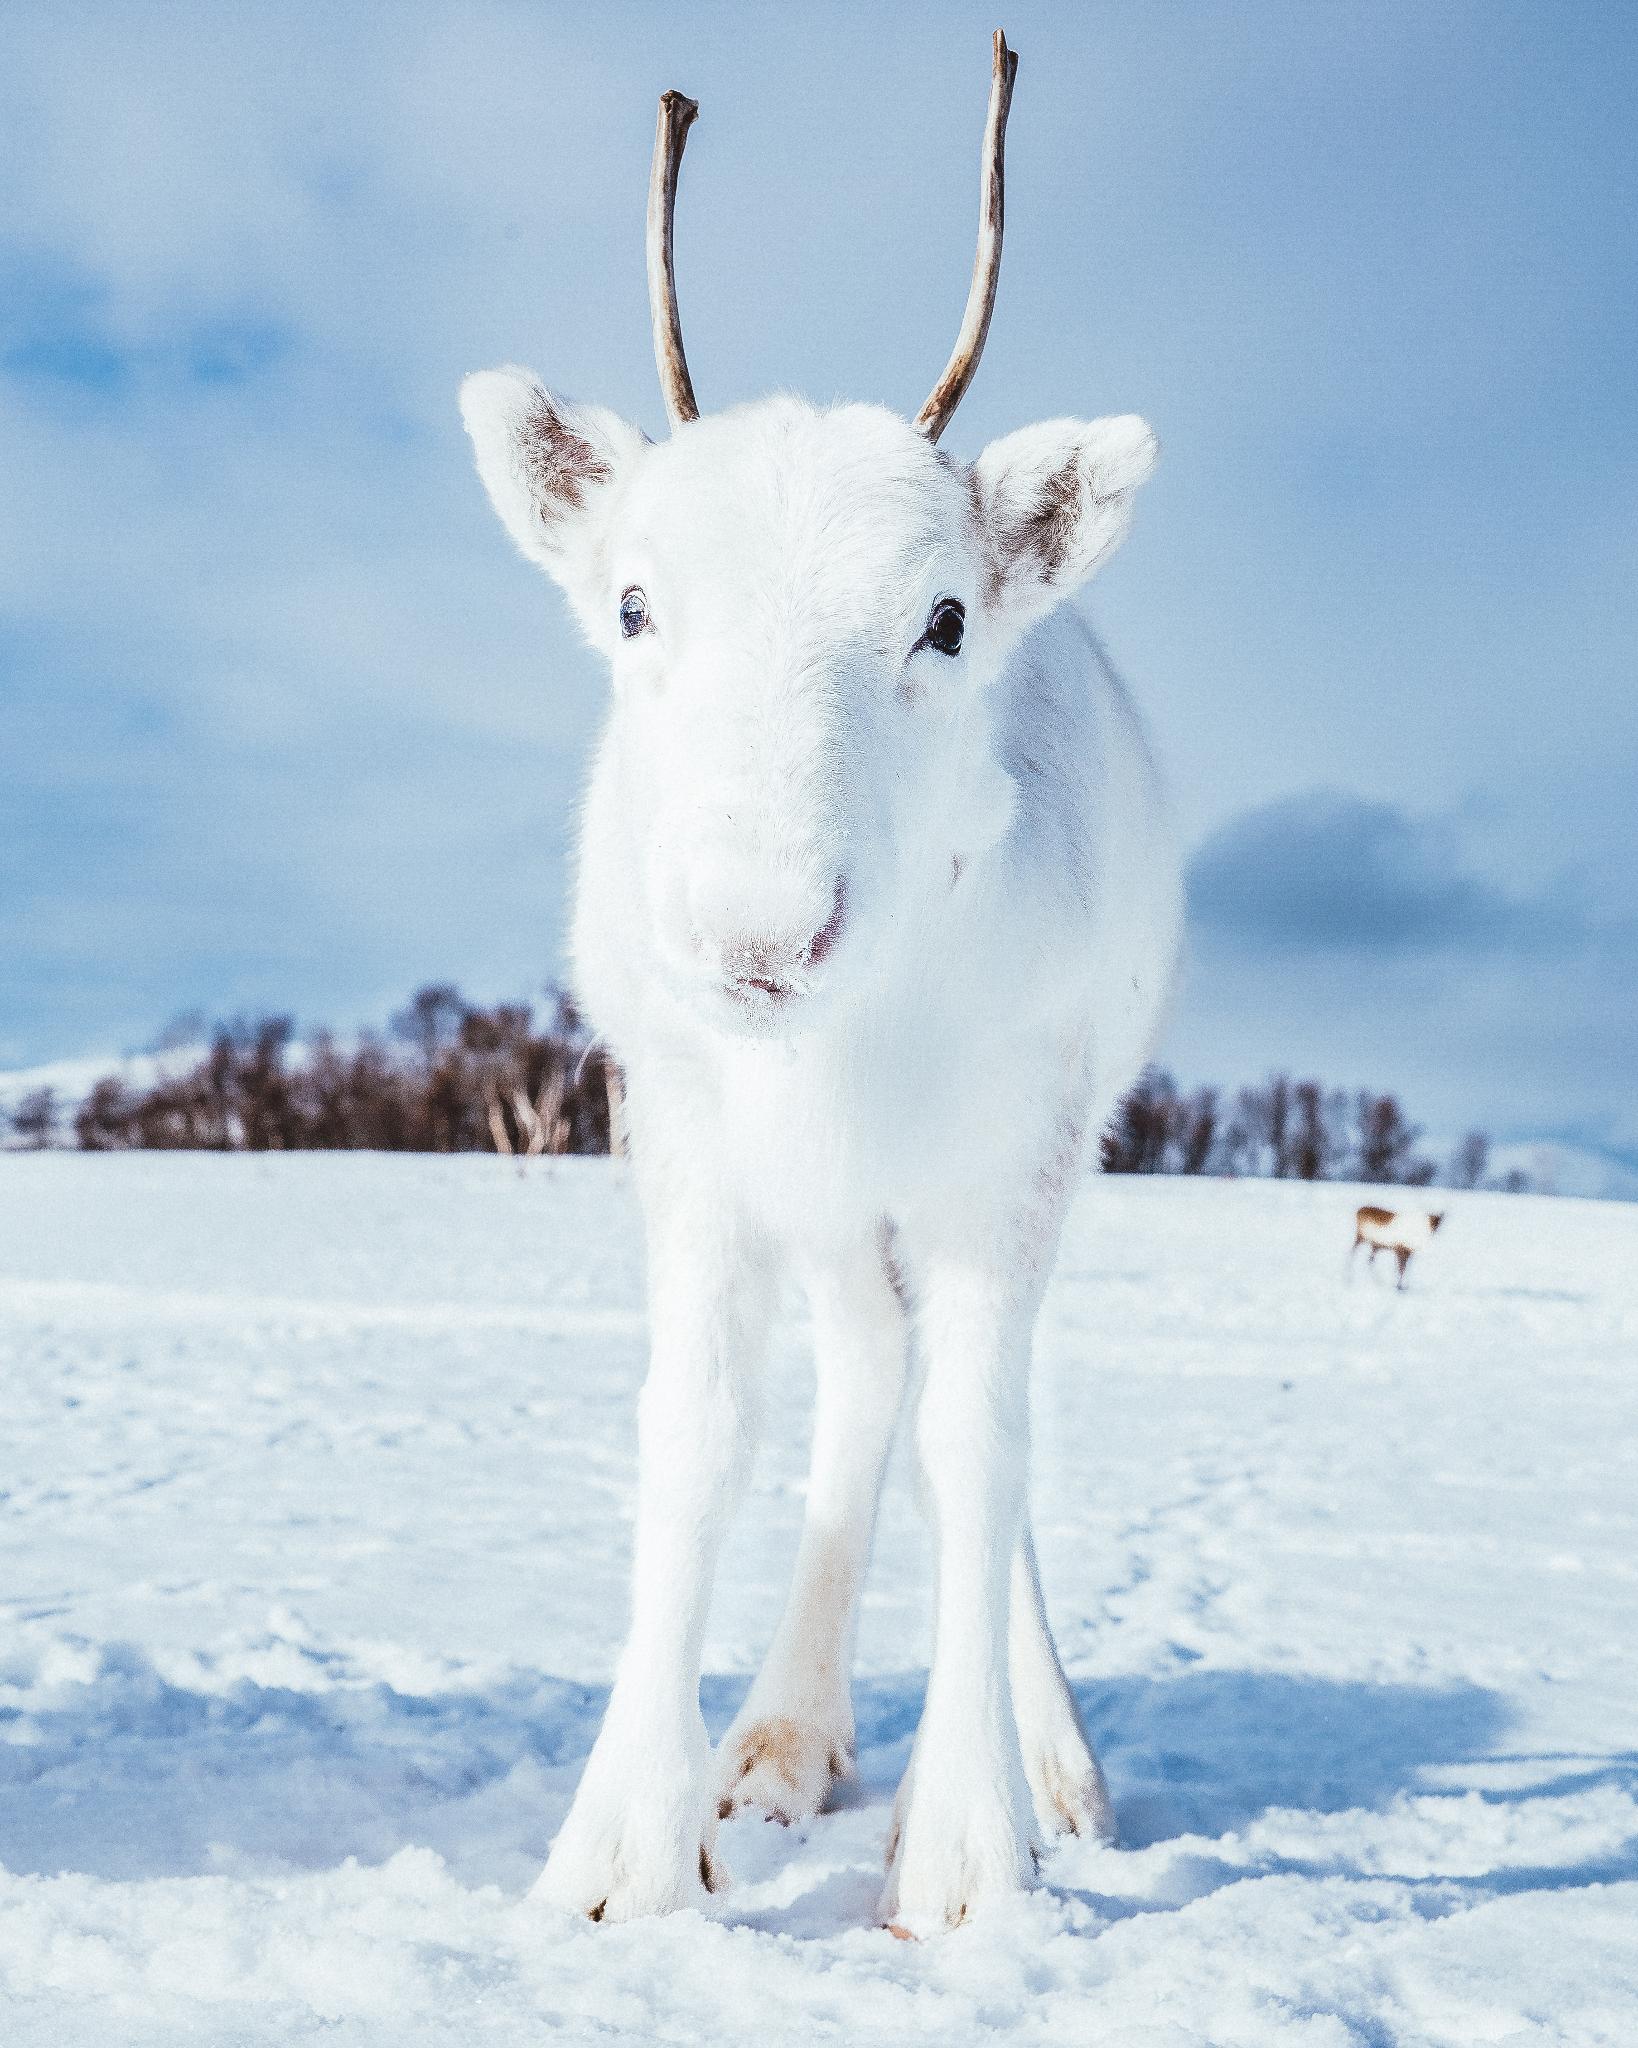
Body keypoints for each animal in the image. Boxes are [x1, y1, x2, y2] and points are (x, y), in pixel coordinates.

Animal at [460, 30, 1181, 1935]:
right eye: (633, 605)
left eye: (943, 617)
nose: (756, 936)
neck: (842, 1052)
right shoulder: (685, 1131)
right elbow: (697, 1434)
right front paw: (621, 1855)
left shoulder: (1010, 1148)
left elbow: (979, 1448)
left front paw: (969, 1853)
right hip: (838, 1217)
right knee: (865, 1378)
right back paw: (783, 1736)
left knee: (966, 1425)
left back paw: (1030, 1762)